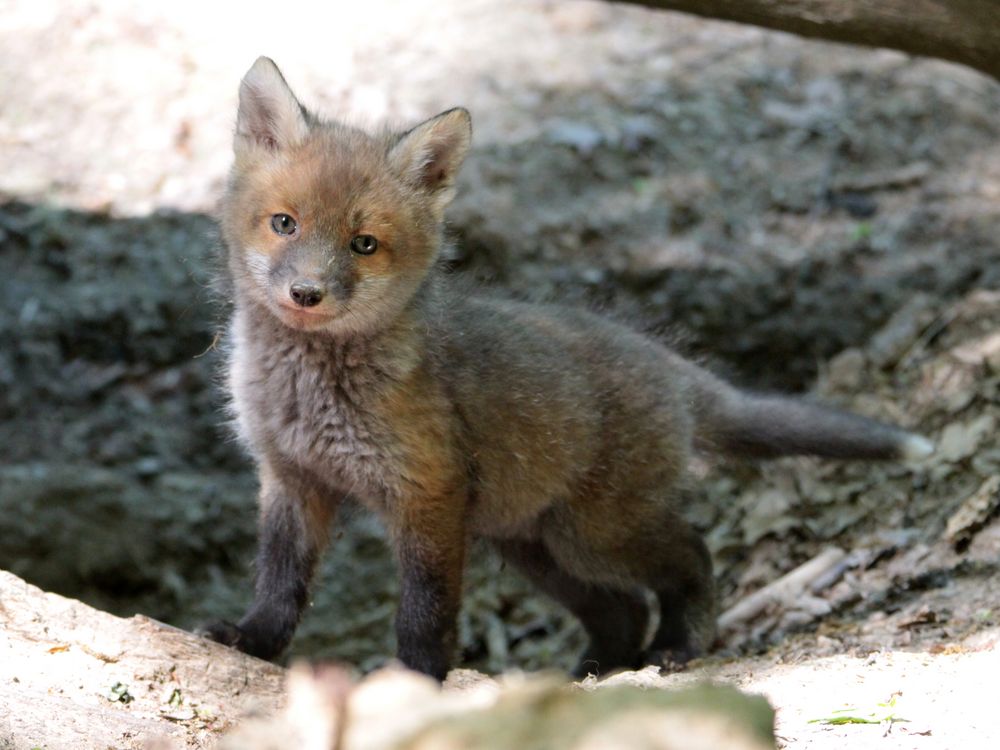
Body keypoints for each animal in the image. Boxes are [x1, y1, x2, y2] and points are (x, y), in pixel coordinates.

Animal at [200, 56, 934, 680]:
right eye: (285, 224)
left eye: (364, 245)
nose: (307, 294)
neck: (310, 394)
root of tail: (667, 364)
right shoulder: (292, 480)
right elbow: (281, 585)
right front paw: (252, 639)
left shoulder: (428, 496)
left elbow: (425, 614)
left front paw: (415, 682)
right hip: (536, 546)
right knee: (624, 608)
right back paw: (590, 674)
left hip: (594, 534)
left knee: (692, 555)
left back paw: (679, 643)